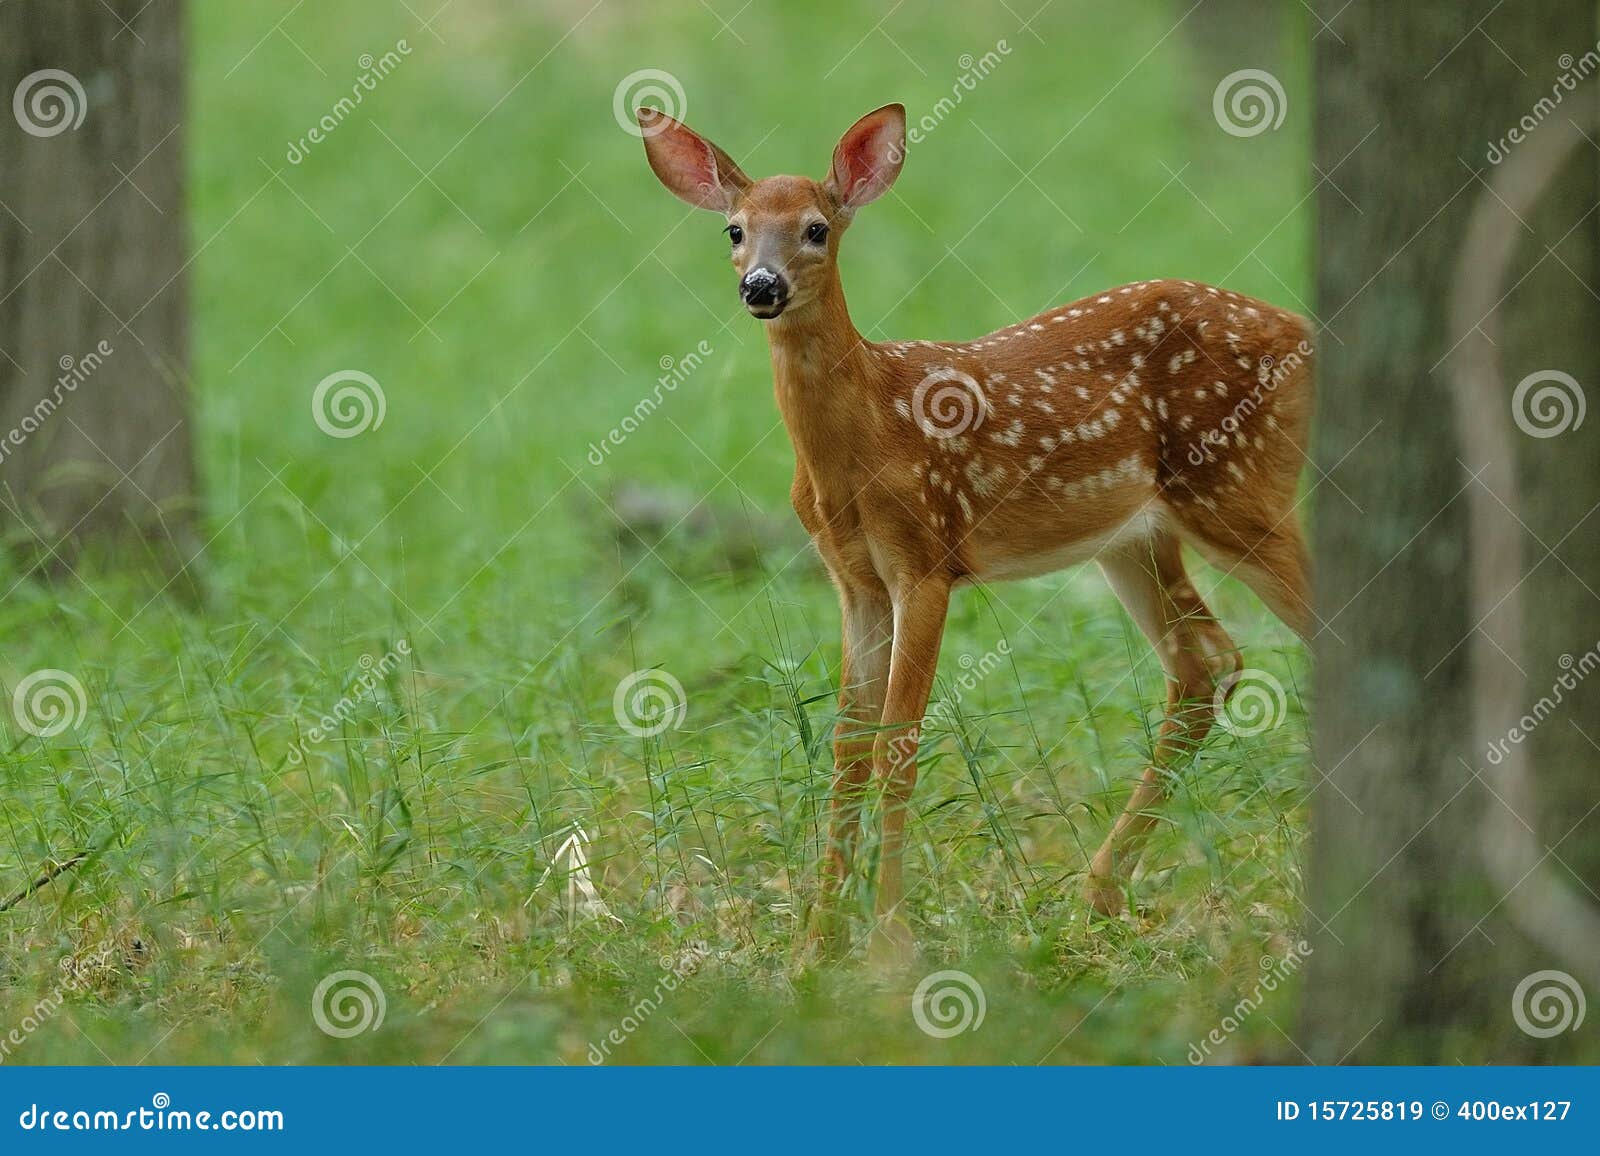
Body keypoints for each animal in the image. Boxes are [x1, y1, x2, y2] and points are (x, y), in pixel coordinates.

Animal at [639, 102, 1313, 966]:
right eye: (735, 229)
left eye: (817, 228)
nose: (763, 286)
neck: (863, 435)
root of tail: (1304, 333)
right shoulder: (855, 580)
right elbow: (846, 748)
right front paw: (817, 945)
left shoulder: (927, 559)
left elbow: (898, 744)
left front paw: (889, 940)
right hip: (1136, 537)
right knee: (1207, 662)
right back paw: (1099, 894)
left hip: (1239, 489)